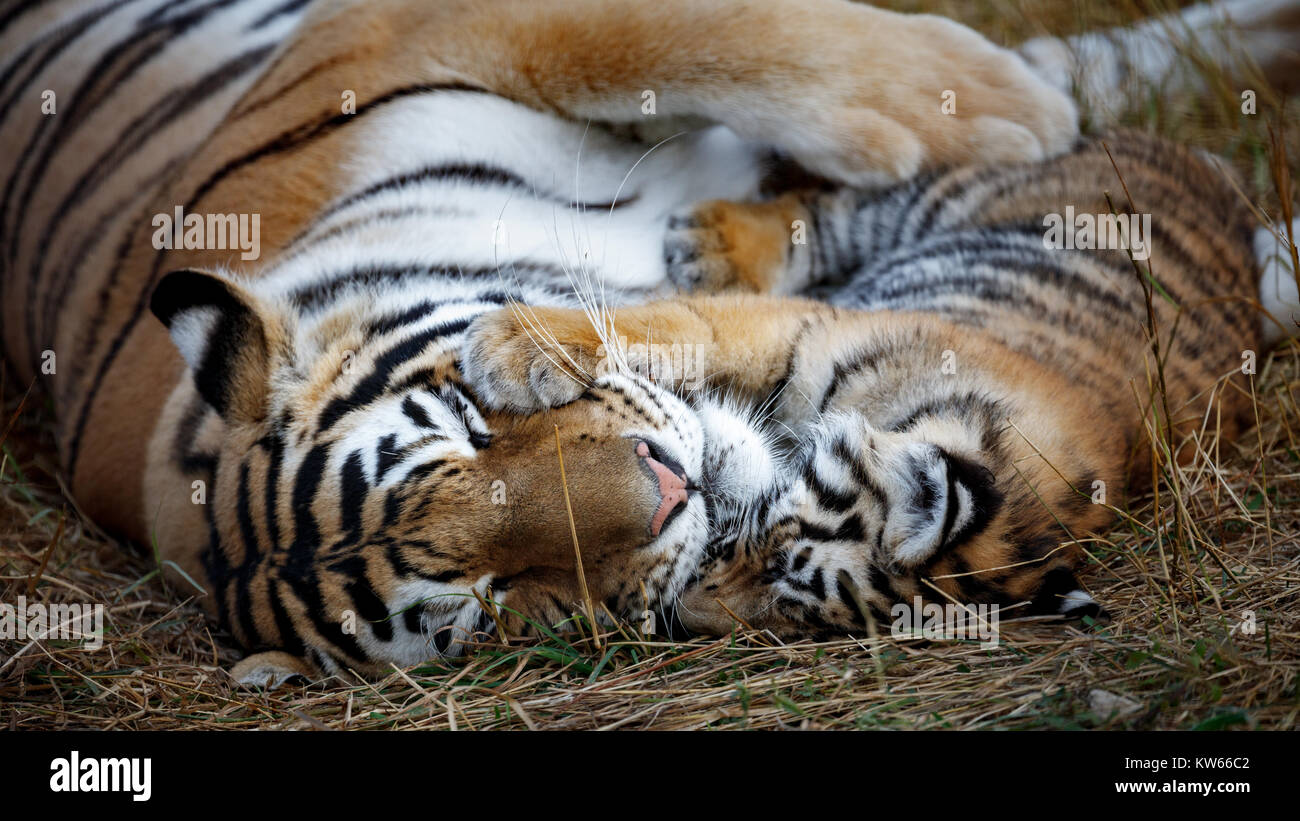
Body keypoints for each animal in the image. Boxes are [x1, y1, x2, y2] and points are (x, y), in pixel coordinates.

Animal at [1, 0, 1296, 687]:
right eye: (485, 605)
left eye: (465, 427)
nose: (675, 493)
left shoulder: (399, 35)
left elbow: (658, 34)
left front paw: (982, 103)